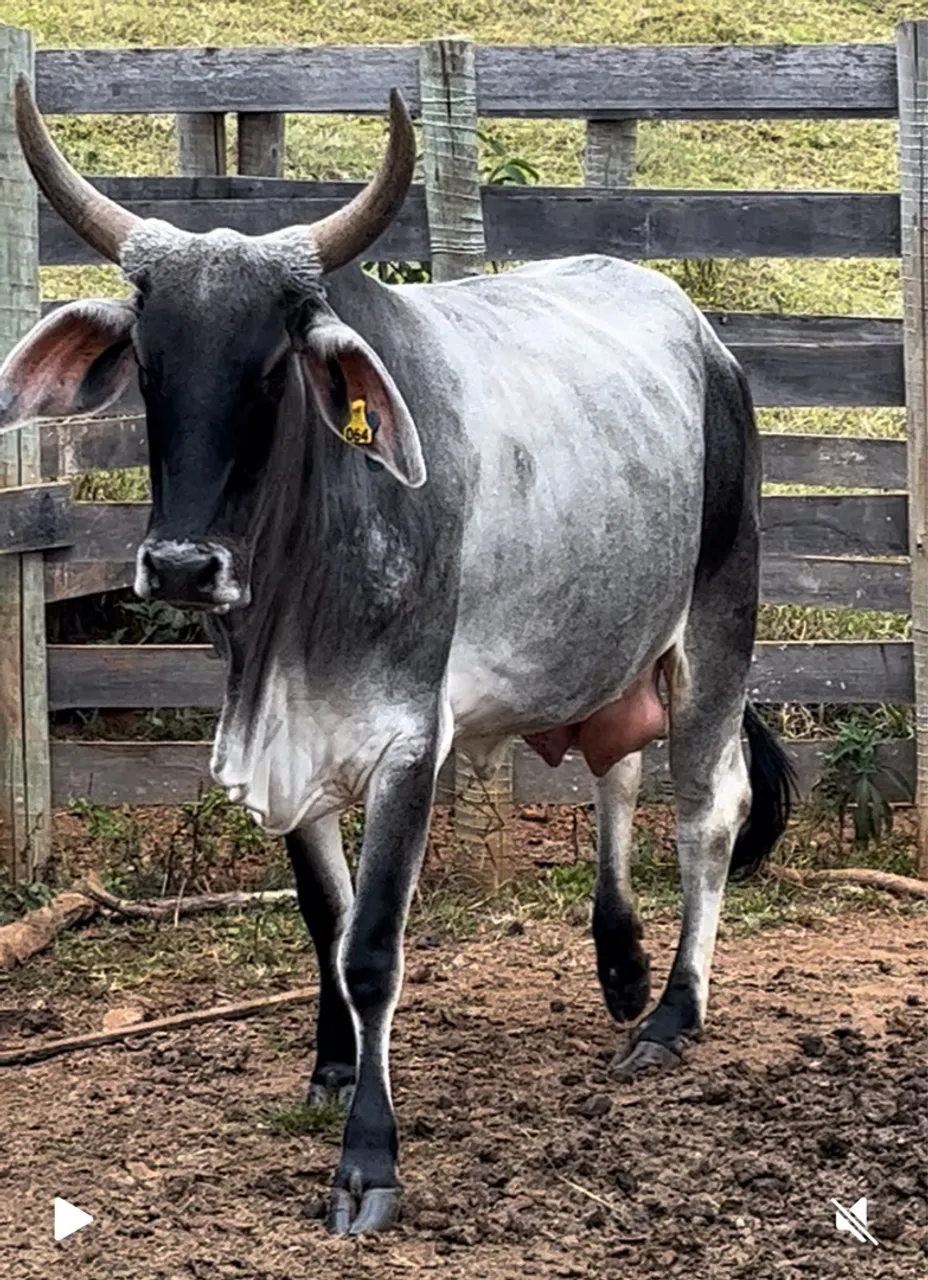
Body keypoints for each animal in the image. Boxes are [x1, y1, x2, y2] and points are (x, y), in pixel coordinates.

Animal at [0, 80, 794, 1235]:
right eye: (148, 363)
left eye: (273, 368)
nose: (185, 565)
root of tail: (701, 335)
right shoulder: (283, 738)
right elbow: (324, 919)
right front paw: (332, 1064)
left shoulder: (407, 743)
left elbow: (373, 946)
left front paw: (366, 1162)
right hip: (607, 640)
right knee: (615, 769)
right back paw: (620, 960)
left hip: (716, 625)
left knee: (706, 812)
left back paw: (669, 1014)